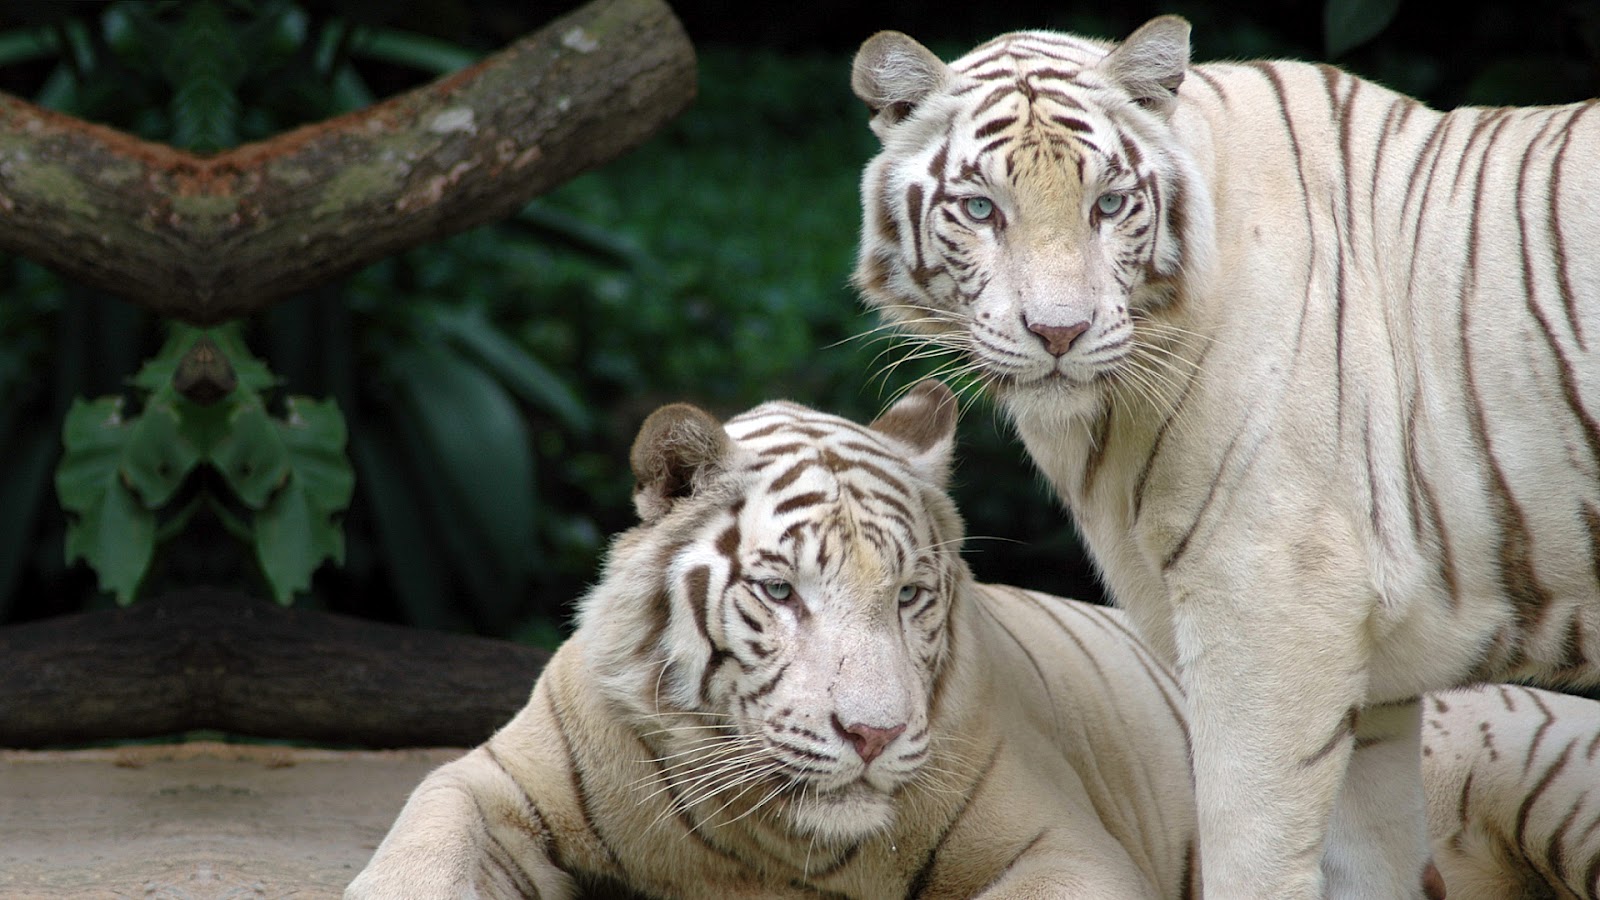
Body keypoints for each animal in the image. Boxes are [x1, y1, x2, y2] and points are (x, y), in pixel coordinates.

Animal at [346, 380, 1600, 899]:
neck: (761, 846)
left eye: (909, 595)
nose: (871, 734)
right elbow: (419, 848)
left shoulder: (1064, 850)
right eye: (779, 592)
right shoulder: (490, 780)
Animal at [849, 14, 1600, 900]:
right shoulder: (1376, 690)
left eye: (1108, 204)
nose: (1060, 333)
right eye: (979, 208)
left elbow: (1251, 851)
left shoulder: (1272, 611)